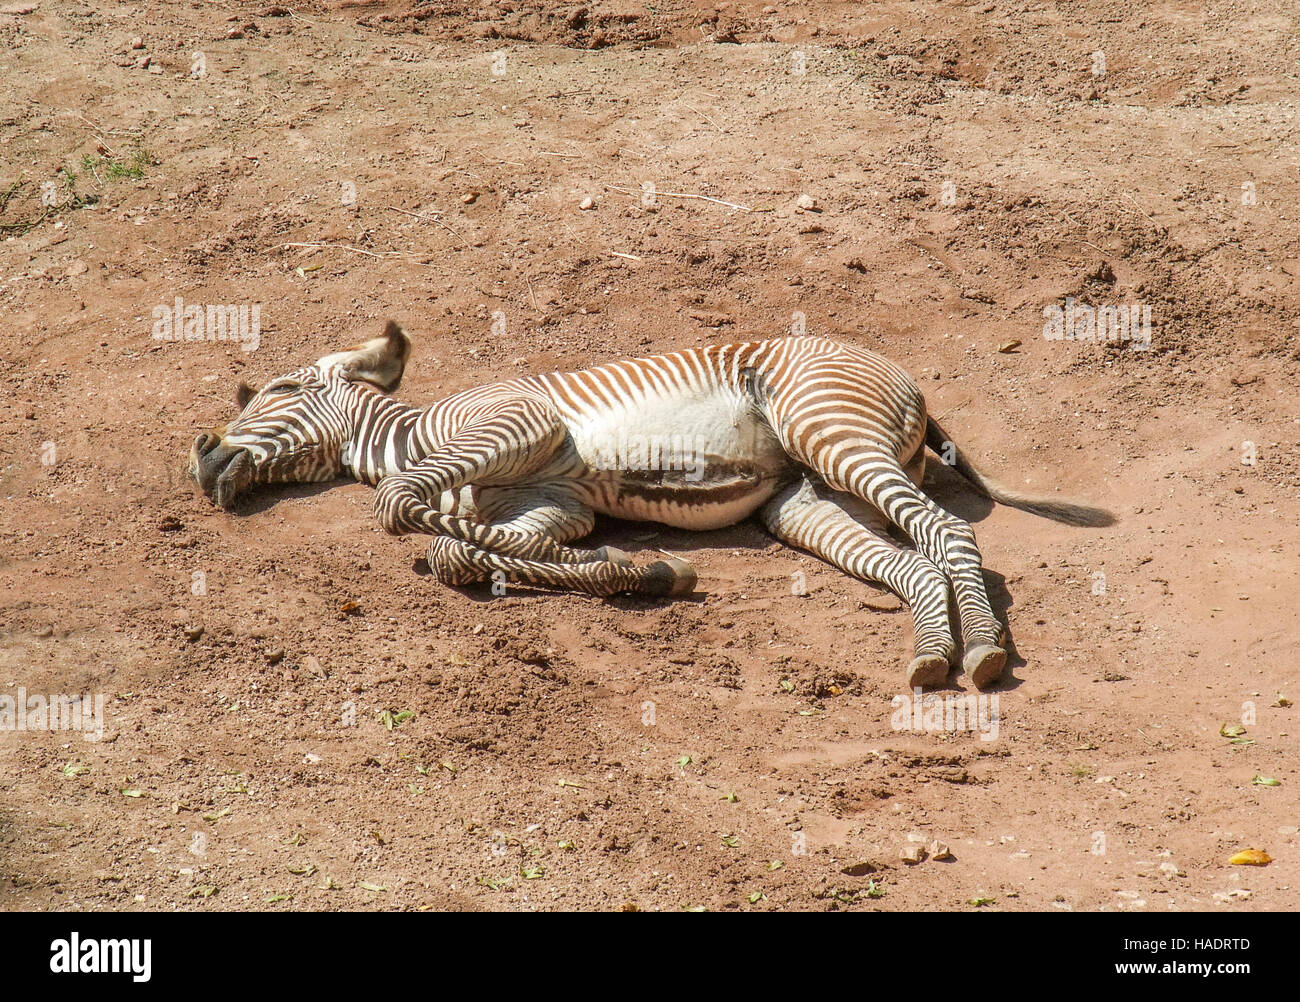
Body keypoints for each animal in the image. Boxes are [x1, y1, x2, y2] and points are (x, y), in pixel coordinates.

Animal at [190, 321, 1113, 690]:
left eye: (277, 390)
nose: (201, 456)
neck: (416, 431)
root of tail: (898, 374)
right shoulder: (554, 504)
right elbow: (464, 547)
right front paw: (633, 568)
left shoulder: (515, 423)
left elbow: (396, 505)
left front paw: (634, 565)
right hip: (802, 499)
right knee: (910, 561)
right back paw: (935, 654)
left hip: (828, 425)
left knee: (946, 528)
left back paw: (985, 649)